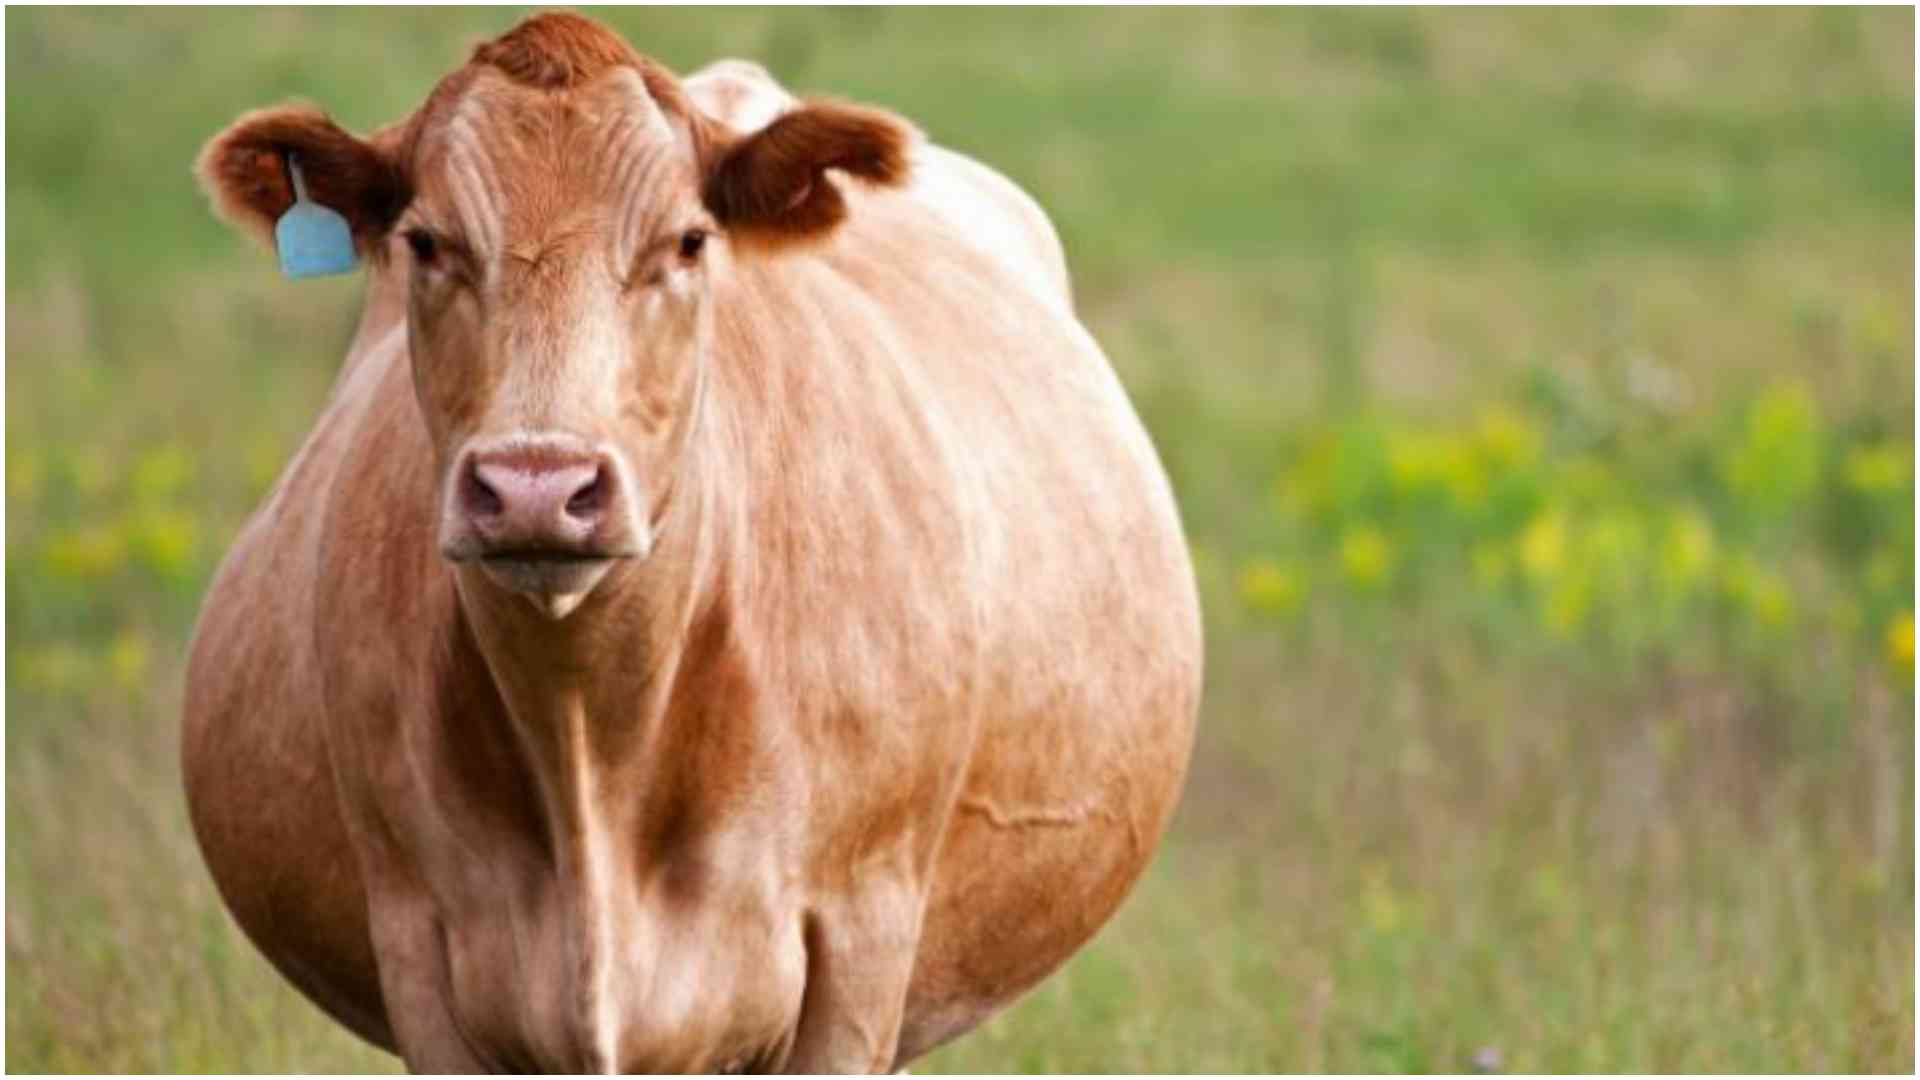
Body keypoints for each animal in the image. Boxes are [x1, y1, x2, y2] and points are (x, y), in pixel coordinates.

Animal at [182, 12, 1200, 1073]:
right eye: (426, 242)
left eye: (686, 242)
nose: (537, 485)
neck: (590, 738)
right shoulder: (418, 953)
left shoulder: (863, 946)